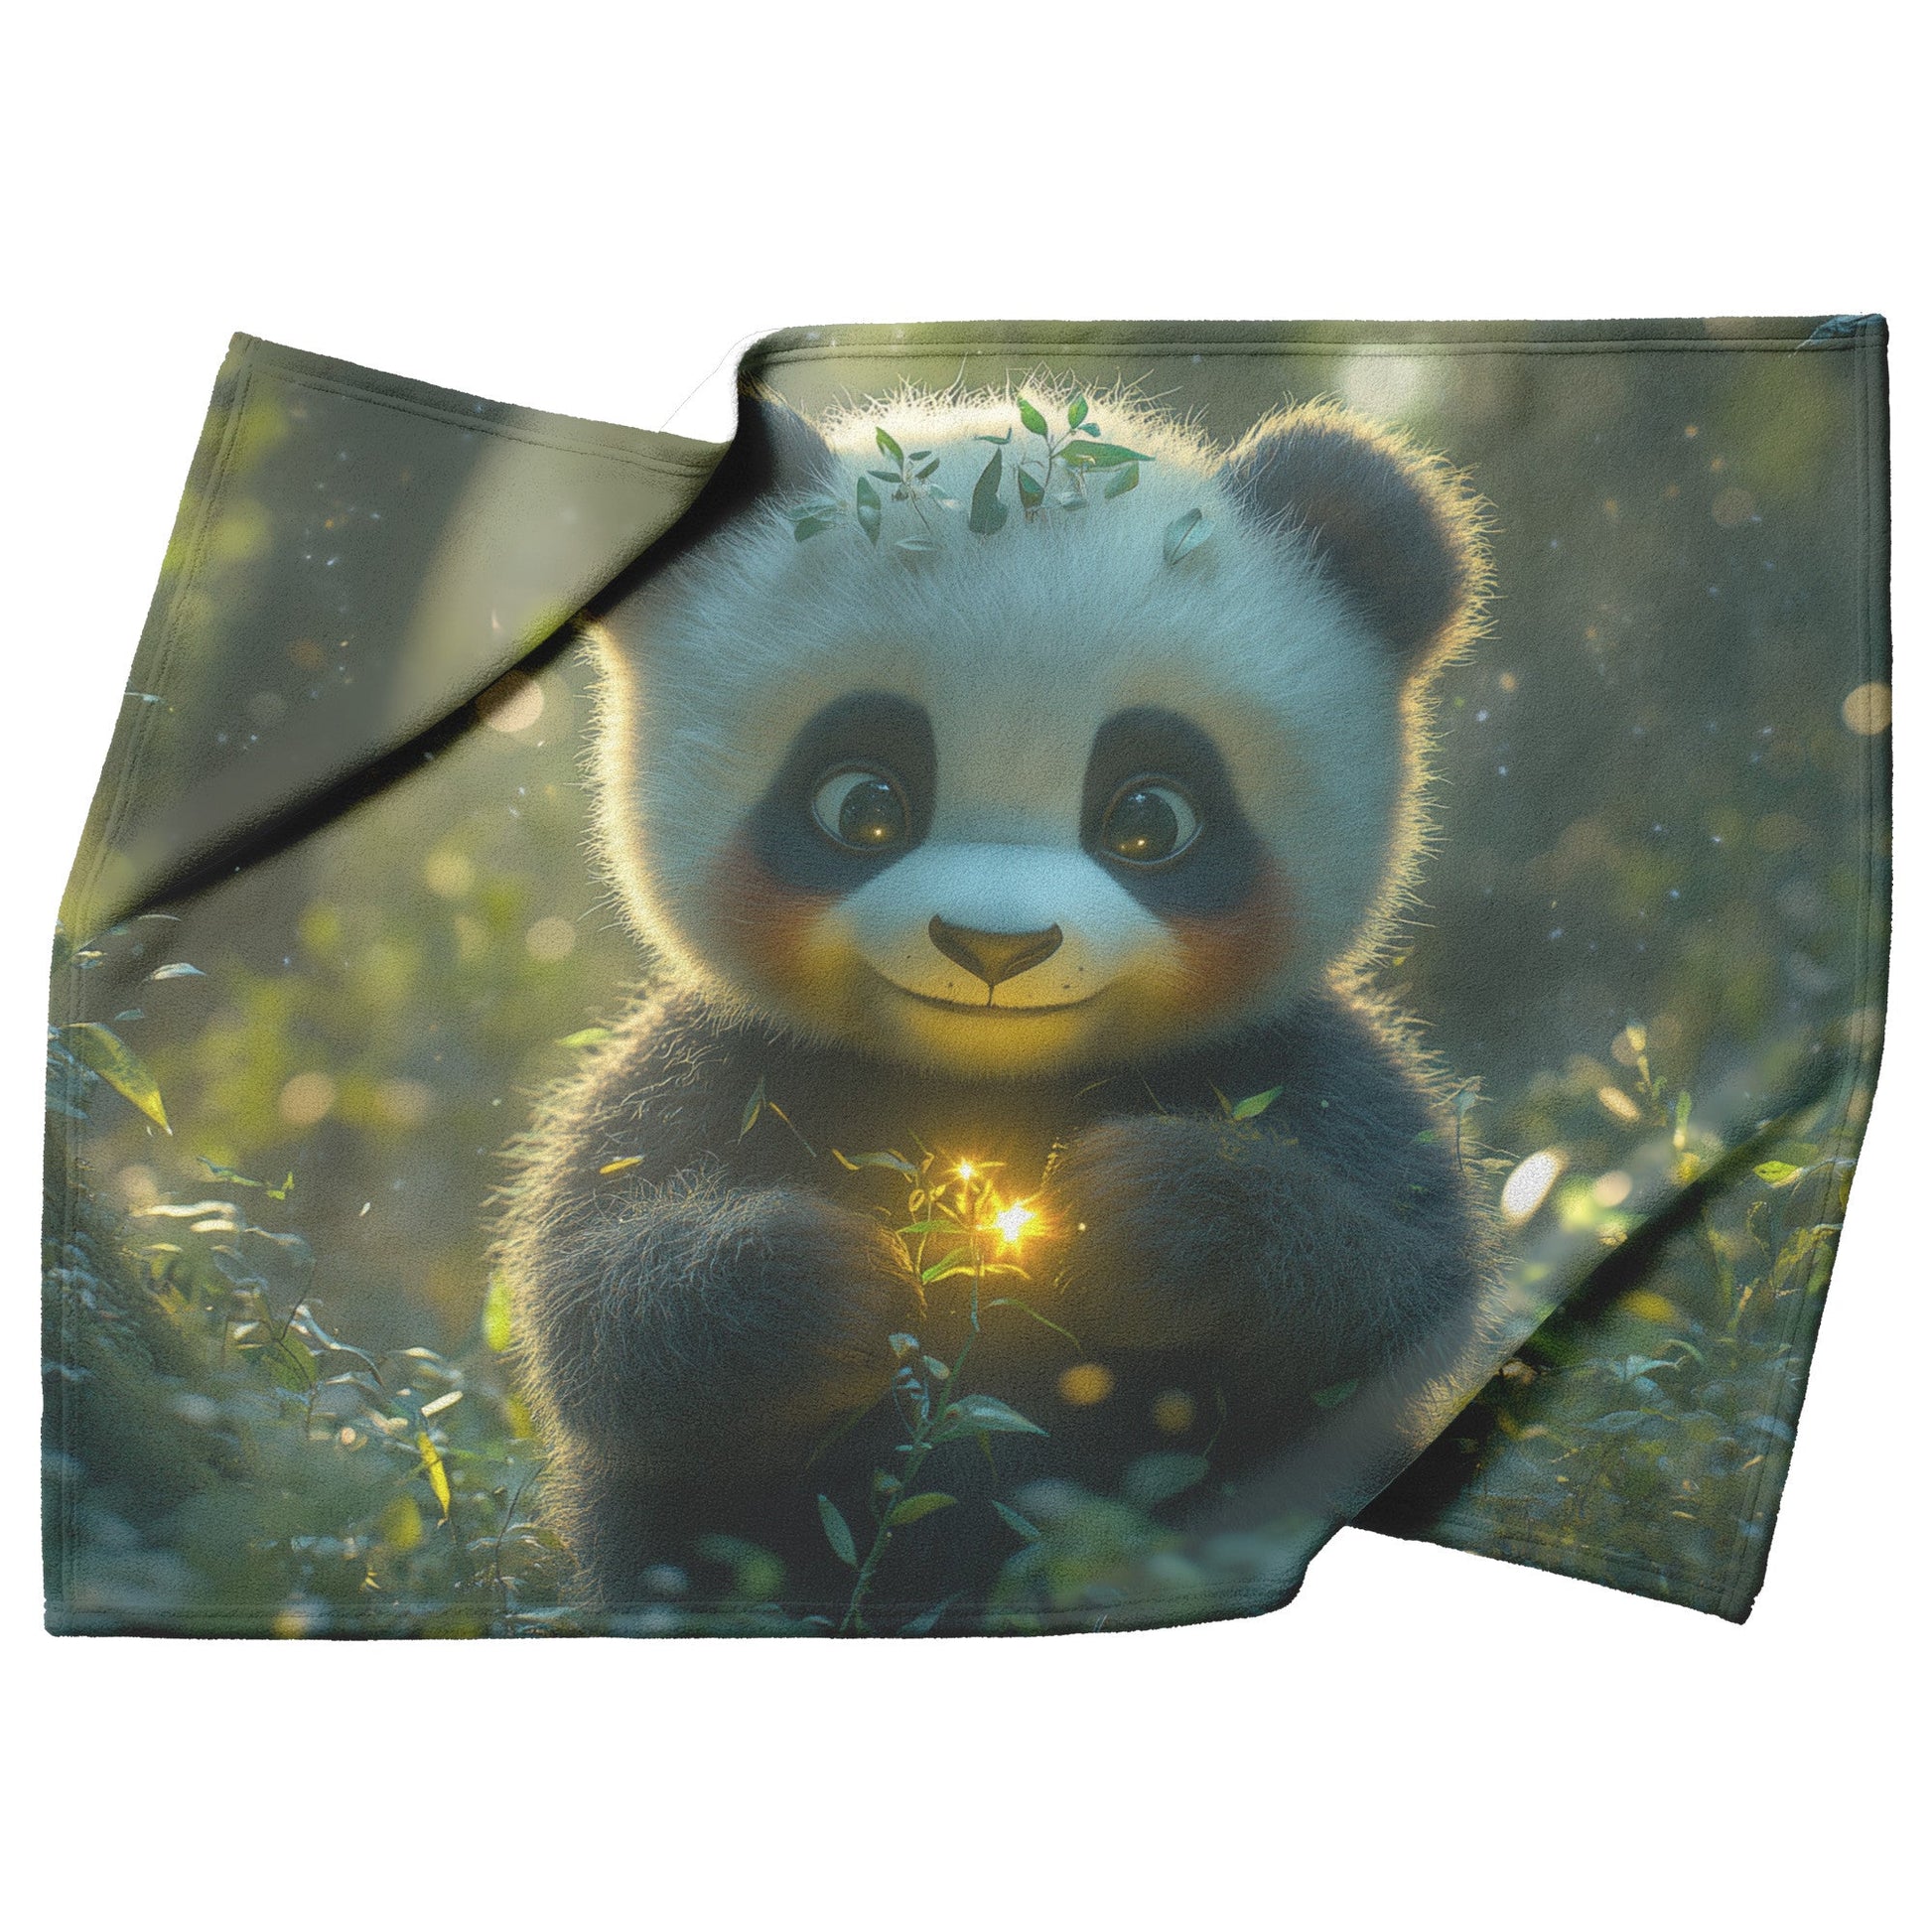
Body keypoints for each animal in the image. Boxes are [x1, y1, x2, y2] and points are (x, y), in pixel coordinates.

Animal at [499, 377, 1493, 1630]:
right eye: (861, 801)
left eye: (1149, 816)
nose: (994, 947)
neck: (989, 1090)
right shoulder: (715, 1062)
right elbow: (589, 1299)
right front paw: (824, 1287)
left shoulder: (1302, 1062)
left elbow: (1405, 1290)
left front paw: (1147, 1217)